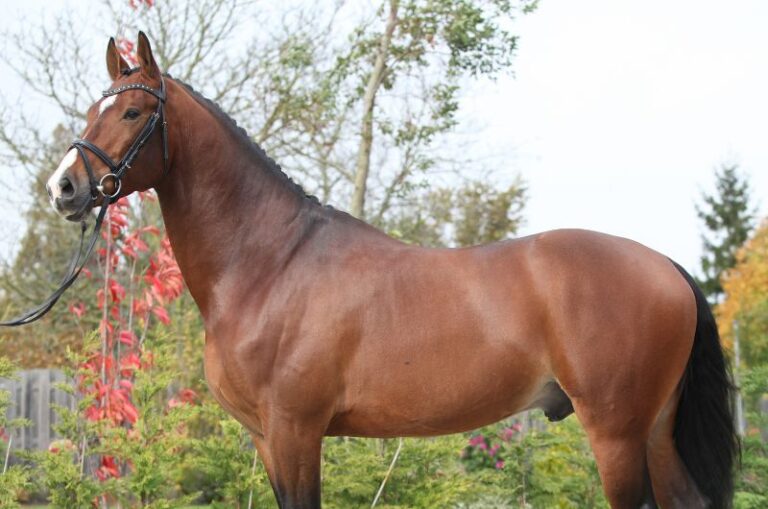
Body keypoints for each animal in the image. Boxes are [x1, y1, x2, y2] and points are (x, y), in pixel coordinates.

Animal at [44, 32, 737, 508]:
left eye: (134, 112)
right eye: (93, 109)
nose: (65, 187)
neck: (270, 264)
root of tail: (665, 265)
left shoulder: (296, 431)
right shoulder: (268, 438)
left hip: (616, 433)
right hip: (654, 429)